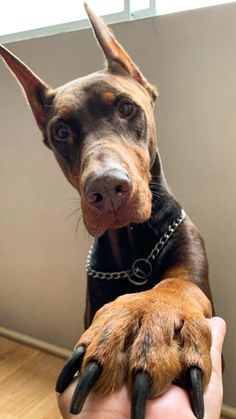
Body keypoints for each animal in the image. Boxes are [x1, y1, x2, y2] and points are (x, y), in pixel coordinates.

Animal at [0, 4, 214, 419]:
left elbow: (176, 287)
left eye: (127, 107)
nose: (107, 189)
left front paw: (150, 315)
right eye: (61, 131)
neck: (134, 258)